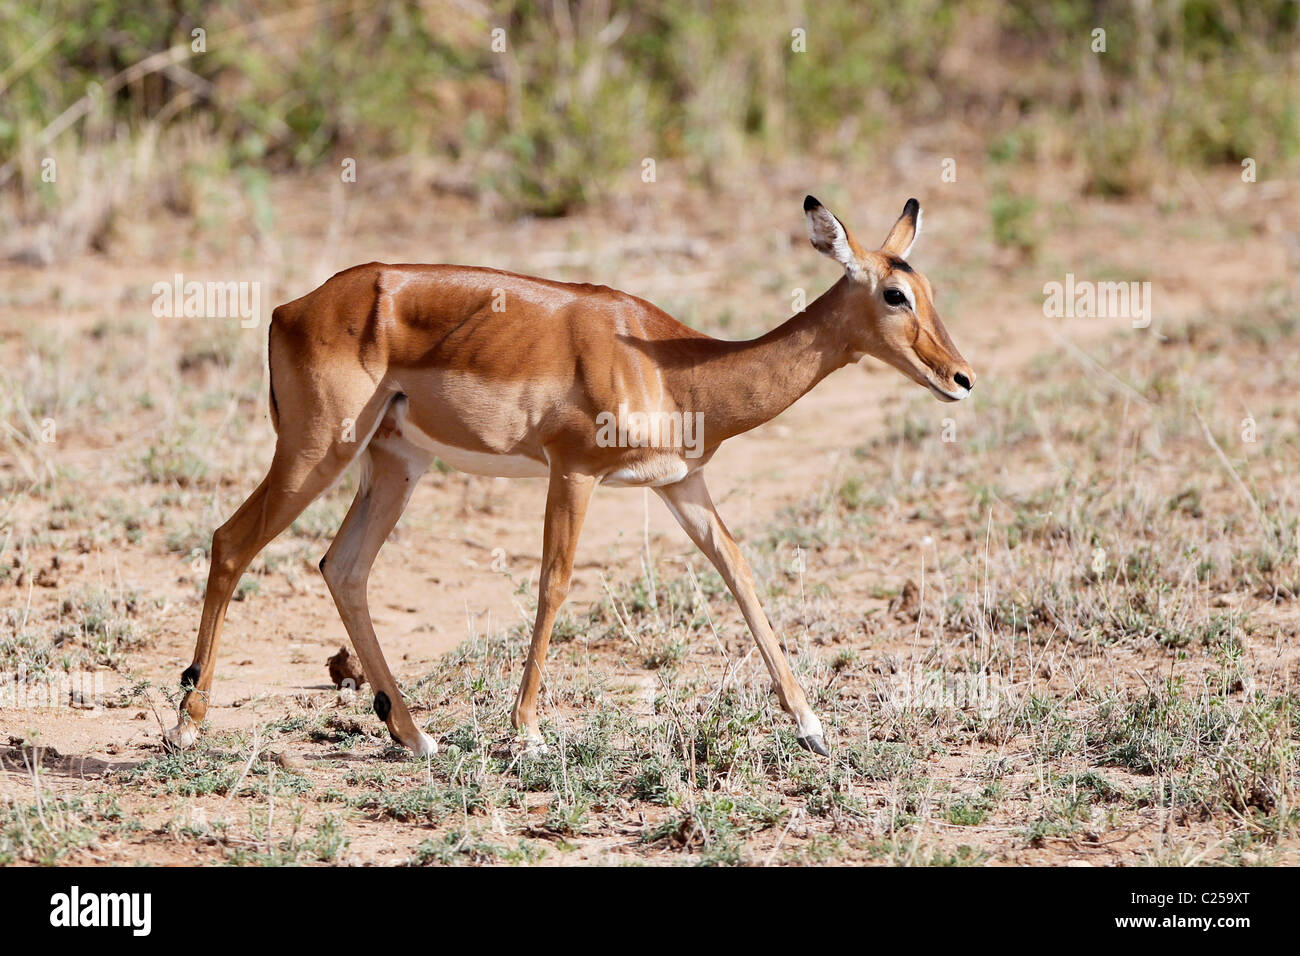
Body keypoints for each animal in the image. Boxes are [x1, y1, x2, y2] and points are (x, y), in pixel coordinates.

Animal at [164, 196, 974, 758]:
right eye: (894, 294)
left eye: (930, 287)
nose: (961, 378)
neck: (671, 367)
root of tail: (288, 309)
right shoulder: (574, 470)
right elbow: (554, 584)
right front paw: (525, 734)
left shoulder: (682, 485)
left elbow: (740, 571)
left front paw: (811, 727)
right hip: (315, 451)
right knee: (231, 542)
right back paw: (187, 726)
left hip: (394, 465)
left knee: (344, 567)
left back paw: (416, 736)